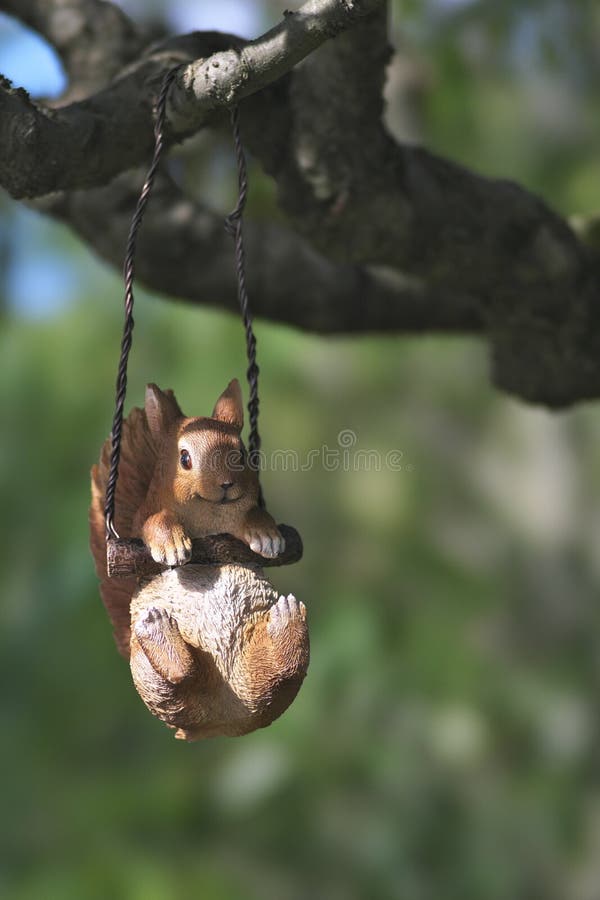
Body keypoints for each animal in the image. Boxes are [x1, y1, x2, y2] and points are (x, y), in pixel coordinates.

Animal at [89, 380, 309, 740]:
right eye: (184, 458)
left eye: (242, 454)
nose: (226, 484)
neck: (209, 516)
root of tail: (221, 720)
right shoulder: (141, 521)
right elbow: (155, 521)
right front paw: (172, 543)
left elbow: (254, 513)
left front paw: (267, 534)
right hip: (151, 677)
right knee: (183, 675)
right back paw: (158, 631)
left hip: (264, 677)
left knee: (281, 670)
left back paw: (287, 618)